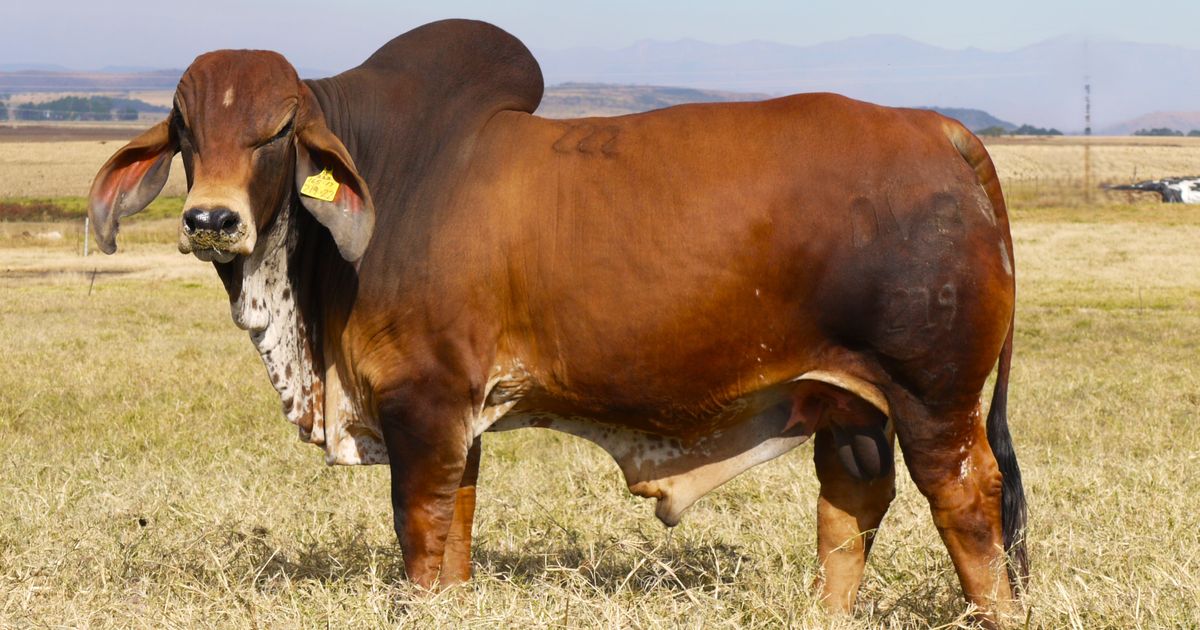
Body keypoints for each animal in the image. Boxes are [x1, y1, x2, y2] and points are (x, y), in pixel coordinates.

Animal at [88, 19, 1026, 624]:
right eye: (184, 128)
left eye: (276, 129)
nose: (211, 220)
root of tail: (941, 130)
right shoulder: (457, 414)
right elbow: (456, 530)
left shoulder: (423, 402)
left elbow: (420, 533)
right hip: (848, 397)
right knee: (853, 496)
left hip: (930, 394)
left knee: (967, 499)